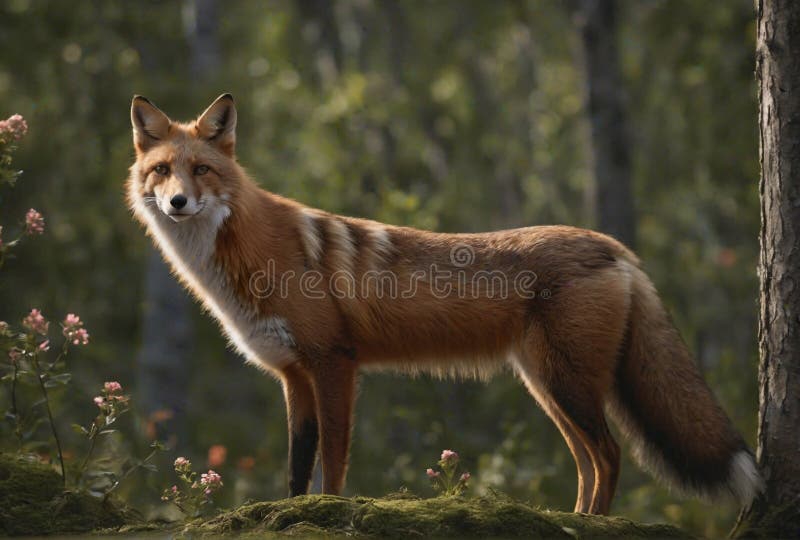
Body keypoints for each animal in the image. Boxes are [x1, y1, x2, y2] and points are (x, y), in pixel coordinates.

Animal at [126, 94, 762, 515]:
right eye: (161, 171)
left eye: (202, 169)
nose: (178, 202)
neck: (247, 256)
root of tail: (615, 247)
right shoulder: (293, 375)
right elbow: (295, 471)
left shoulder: (334, 363)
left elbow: (332, 464)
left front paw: (329, 514)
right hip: (549, 386)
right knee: (590, 463)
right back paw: (574, 520)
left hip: (568, 384)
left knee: (609, 456)